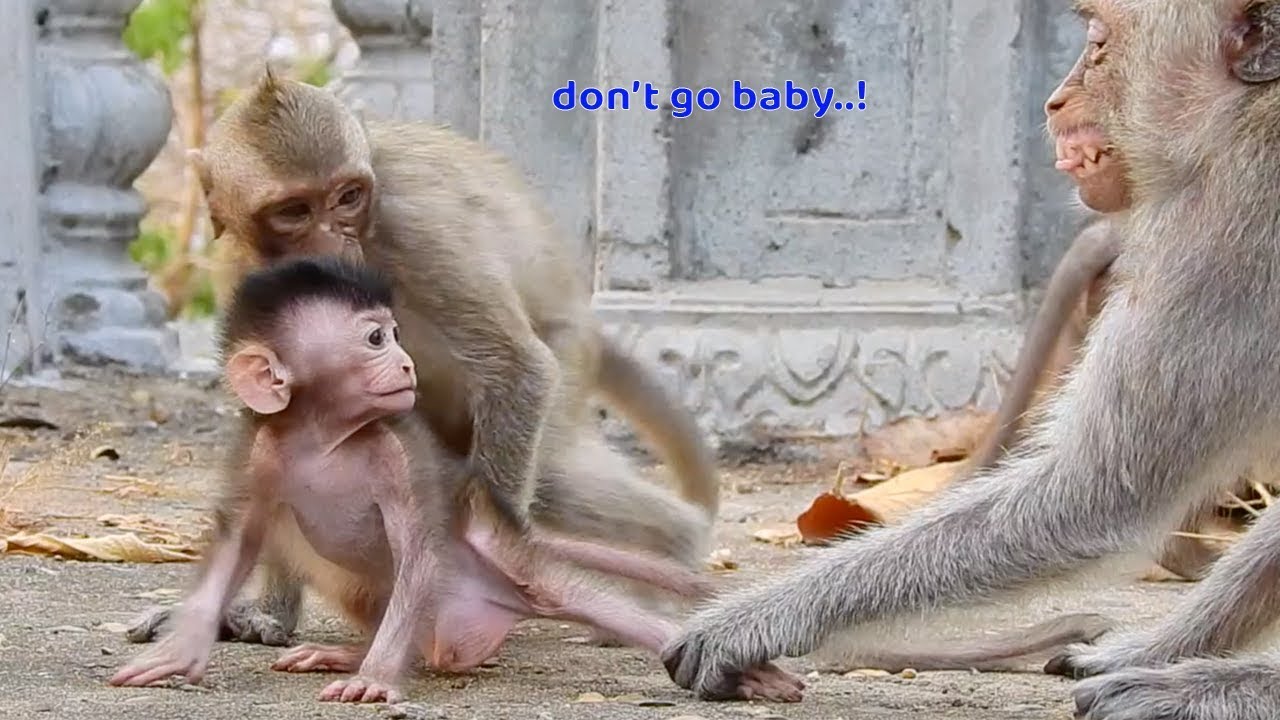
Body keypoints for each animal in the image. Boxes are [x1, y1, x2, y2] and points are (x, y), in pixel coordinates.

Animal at [110, 257, 802, 704]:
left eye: (393, 333)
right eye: (374, 338)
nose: (404, 363)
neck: (325, 439)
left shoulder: (394, 456)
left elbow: (418, 545)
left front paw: (376, 679)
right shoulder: (258, 456)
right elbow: (241, 539)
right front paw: (180, 650)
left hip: (504, 568)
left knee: (563, 592)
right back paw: (353, 651)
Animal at [126, 71, 720, 648]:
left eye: (347, 198)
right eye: (295, 211)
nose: (333, 243)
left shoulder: (414, 225)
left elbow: (516, 367)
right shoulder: (247, 271)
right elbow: (277, 420)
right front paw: (269, 614)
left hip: (568, 355)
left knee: (551, 474)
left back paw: (676, 549)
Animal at [659, 4, 1280, 718]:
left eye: (1098, 43)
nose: (1056, 98)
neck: (1248, 113)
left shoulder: (1222, 243)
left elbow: (1096, 495)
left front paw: (753, 619)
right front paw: (1157, 648)